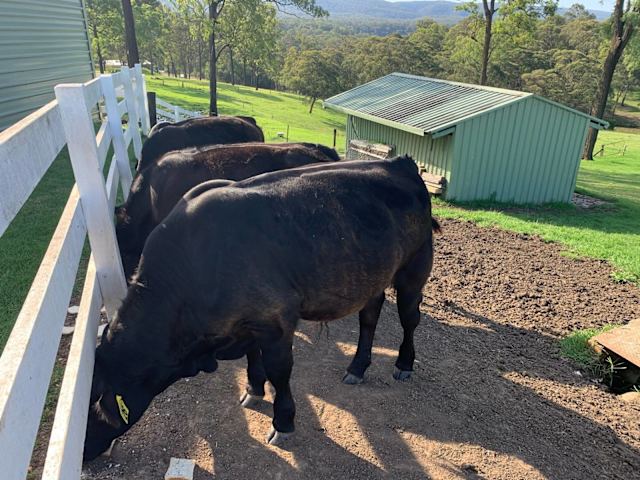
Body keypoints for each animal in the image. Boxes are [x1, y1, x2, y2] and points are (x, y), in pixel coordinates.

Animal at [84, 156, 439, 460]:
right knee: (370, 315)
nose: (83, 458)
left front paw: (283, 423)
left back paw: (404, 363)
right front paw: (253, 388)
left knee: (410, 318)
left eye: (90, 407)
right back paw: (357, 367)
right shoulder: (249, 323)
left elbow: (279, 371)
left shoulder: (276, 320)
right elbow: (252, 357)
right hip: (372, 277)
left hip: (415, 267)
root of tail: (399, 162)